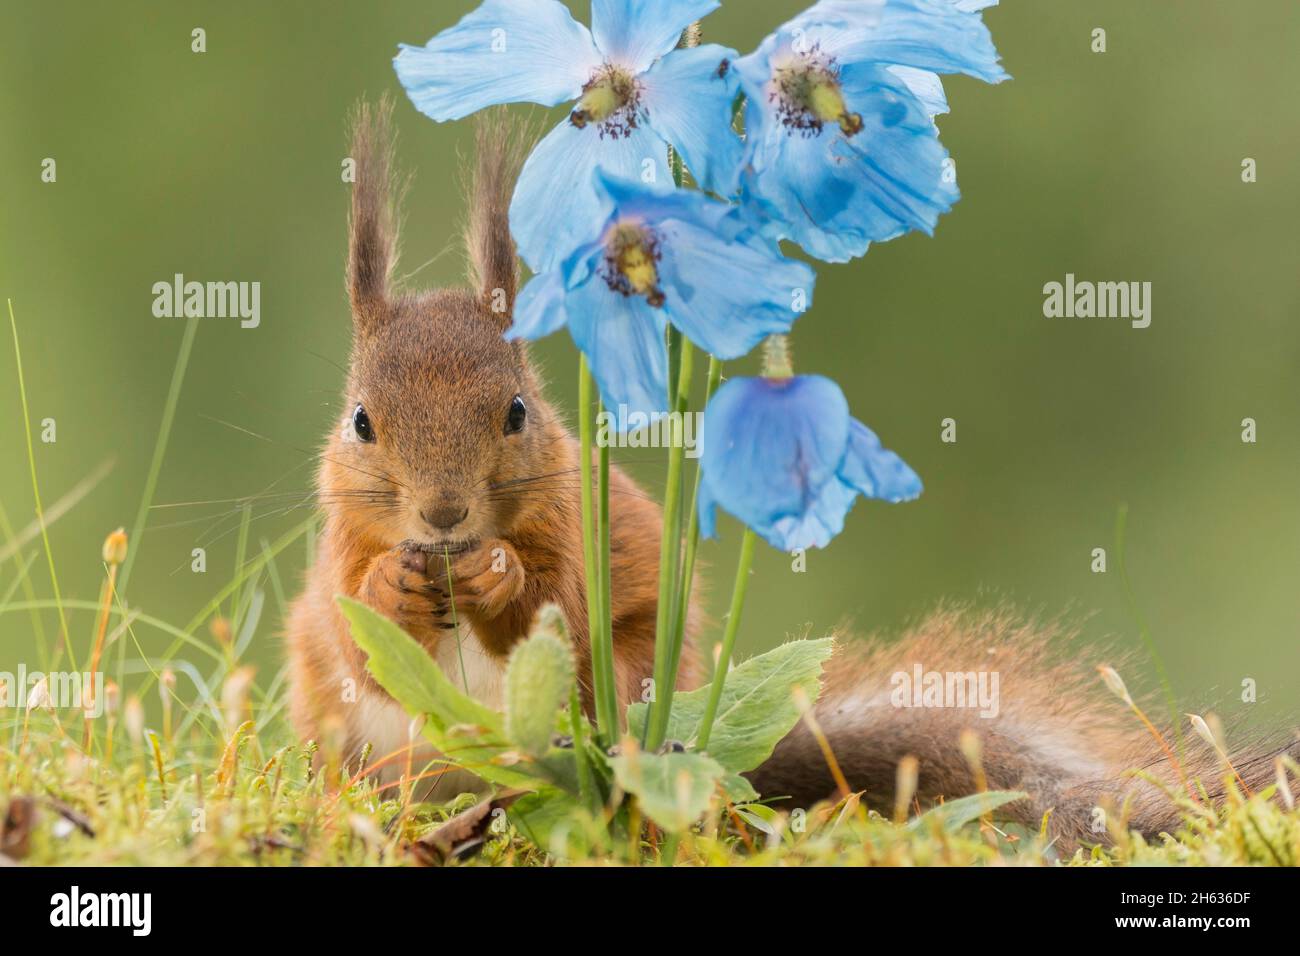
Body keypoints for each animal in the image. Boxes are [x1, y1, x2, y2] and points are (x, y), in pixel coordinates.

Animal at [287, 99, 1295, 845]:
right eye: (361, 422)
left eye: (517, 414)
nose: (445, 516)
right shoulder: (338, 566)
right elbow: (359, 634)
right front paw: (393, 584)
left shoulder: (573, 537)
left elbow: (557, 610)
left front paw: (496, 573)